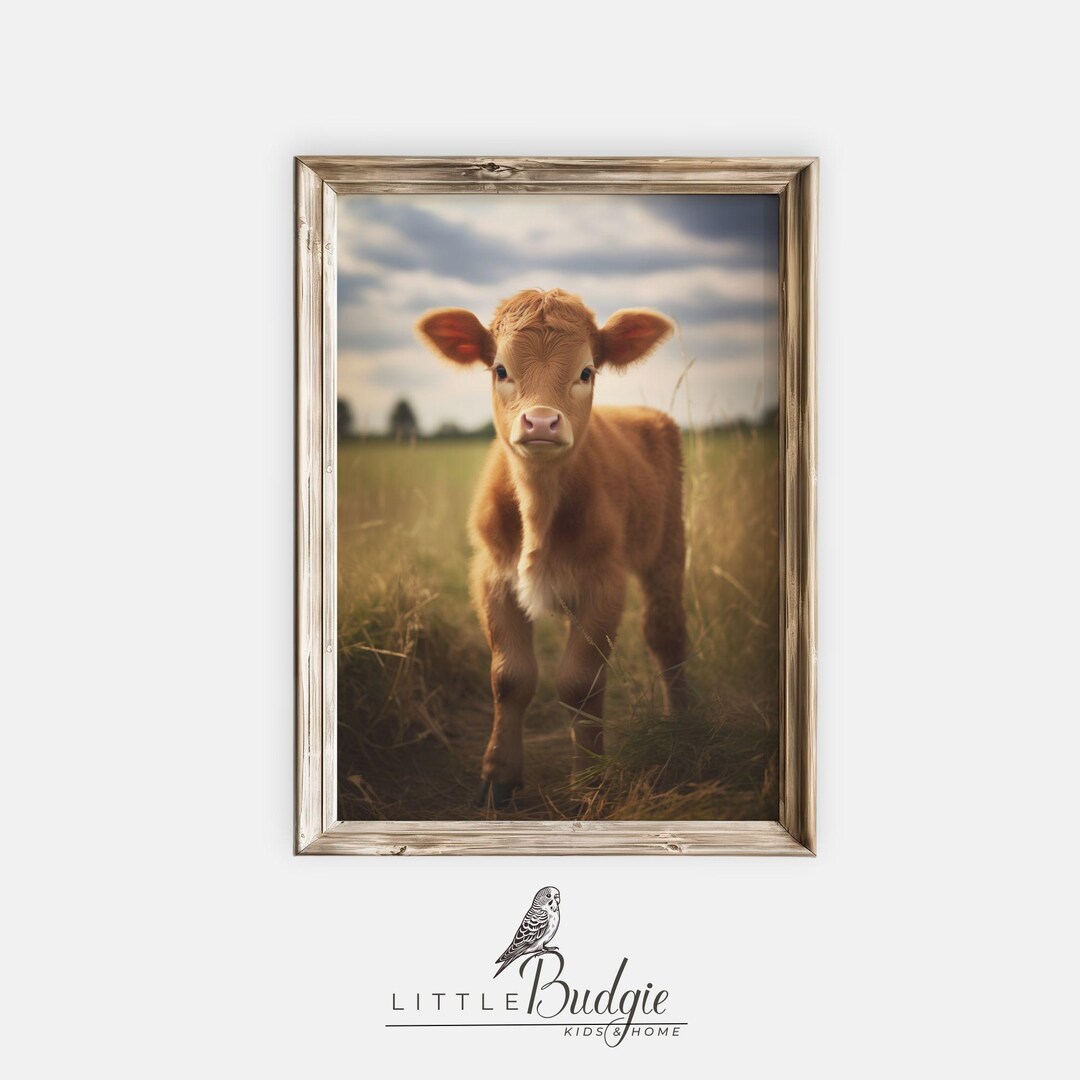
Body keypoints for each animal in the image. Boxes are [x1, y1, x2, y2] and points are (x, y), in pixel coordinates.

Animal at [416, 288, 689, 809]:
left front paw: (590, 780)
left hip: (668, 548)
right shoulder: (493, 578)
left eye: (586, 372)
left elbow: (581, 684)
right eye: (500, 369)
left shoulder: (604, 583)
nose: (541, 422)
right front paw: (499, 776)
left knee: (665, 633)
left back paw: (681, 721)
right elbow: (510, 678)